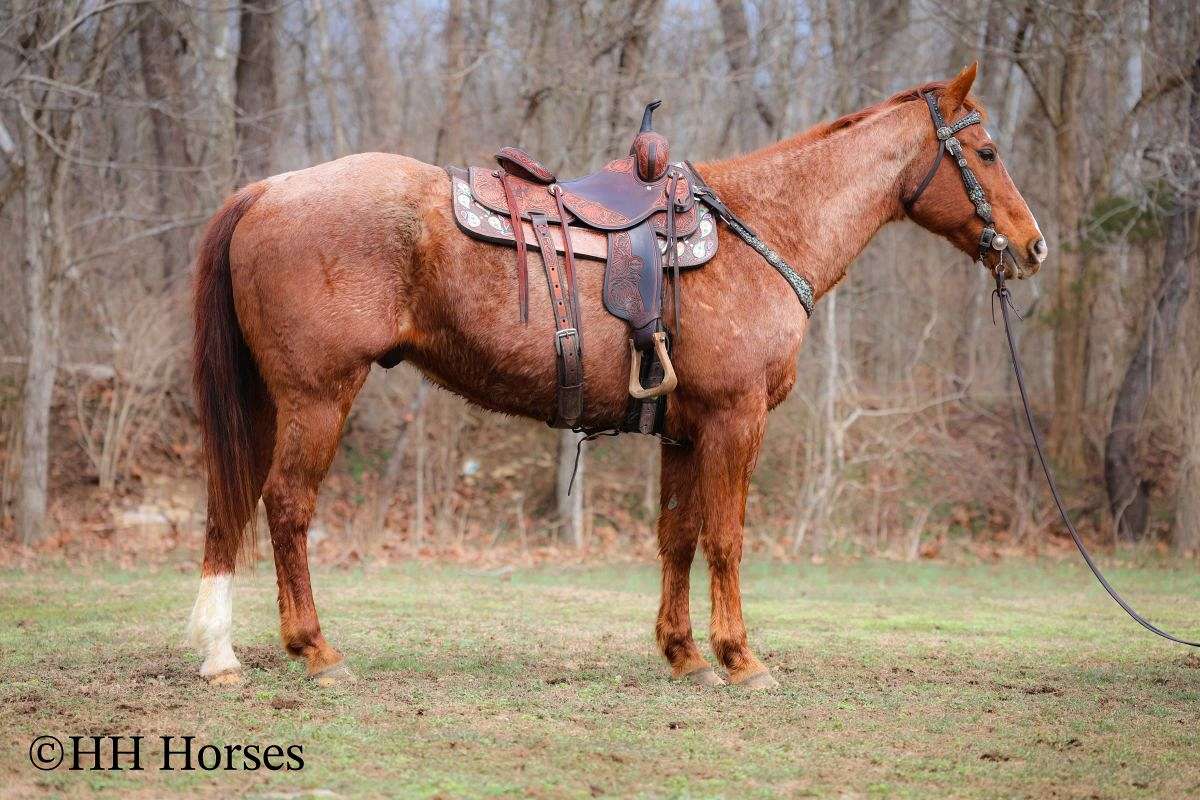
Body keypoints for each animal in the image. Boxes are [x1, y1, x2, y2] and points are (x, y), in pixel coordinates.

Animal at [187, 64, 1046, 688]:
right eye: (988, 153)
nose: (1035, 246)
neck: (762, 229)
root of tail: (266, 189)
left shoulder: (685, 431)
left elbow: (677, 536)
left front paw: (684, 654)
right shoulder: (736, 419)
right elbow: (726, 537)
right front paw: (741, 658)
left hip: (266, 401)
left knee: (230, 505)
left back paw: (222, 654)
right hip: (319, 396)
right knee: (287, 506)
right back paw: (315, 649)